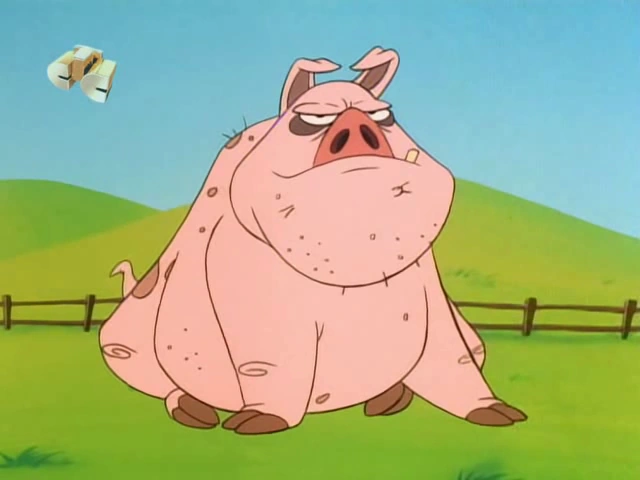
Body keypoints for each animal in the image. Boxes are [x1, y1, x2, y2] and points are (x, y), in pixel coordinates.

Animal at [99, 46, 527, 435]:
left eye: (385, 117)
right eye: (307, 123)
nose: (359, 131)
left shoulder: (429, 286)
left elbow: (453, 357)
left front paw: (500, 415)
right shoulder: (255, 304)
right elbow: (268, 364)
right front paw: (257, 424)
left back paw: (389, 400)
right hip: (124, 339)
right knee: (156, 378)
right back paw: (195, 413)